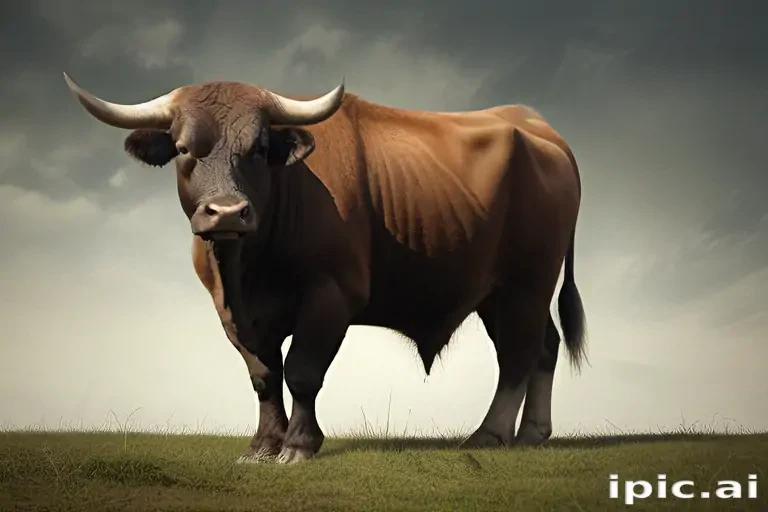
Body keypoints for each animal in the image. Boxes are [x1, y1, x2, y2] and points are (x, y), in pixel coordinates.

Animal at [63, 72, 587, 464]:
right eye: (185, 149)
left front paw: (298, 446)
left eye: (258, 149)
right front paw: (261, 447)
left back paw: (490, 434)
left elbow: (302, 370)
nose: (228, 213)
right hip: (498, 294)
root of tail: (537, 127)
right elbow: (264, 376)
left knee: (518, 353)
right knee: (544, 347)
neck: (247, 269)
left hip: (526, 284)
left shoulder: (332, 296)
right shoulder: (232, 313)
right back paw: (532, 434)